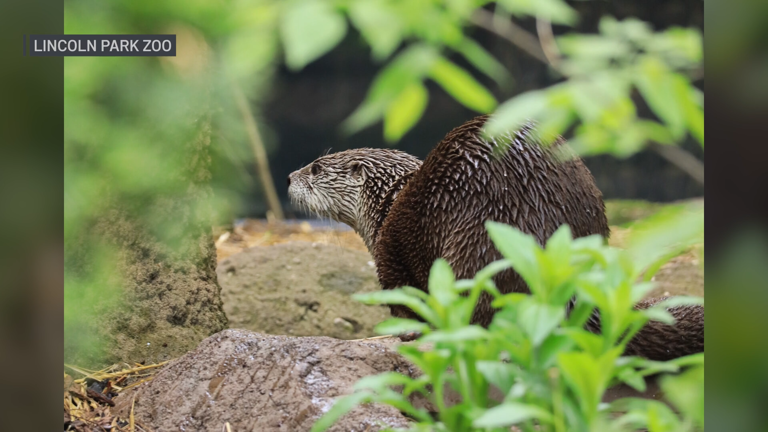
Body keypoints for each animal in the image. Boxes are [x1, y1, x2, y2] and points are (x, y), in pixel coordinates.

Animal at [288, 115, 703, 361]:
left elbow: (407, 304)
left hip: (480, 245)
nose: (290, 176)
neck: (389, 203)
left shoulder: (392, 256)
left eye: (316, 167)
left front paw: (404, 335)